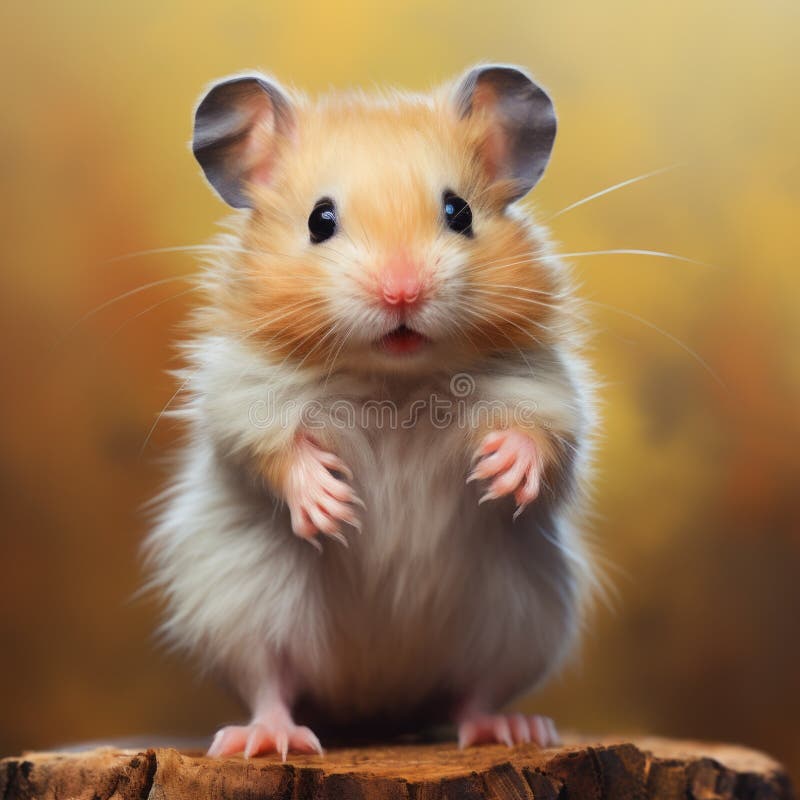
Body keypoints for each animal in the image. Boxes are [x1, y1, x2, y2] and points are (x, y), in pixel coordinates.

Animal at [144, 64, 597, 759]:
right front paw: (332, 507)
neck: (394, 383)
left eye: (459, 212)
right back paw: (266, 741)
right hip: (238, 604)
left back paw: (512, 731)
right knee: (268, 682)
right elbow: (273, 451)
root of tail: (377, 703)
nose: (401, 292)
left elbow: (543, 432)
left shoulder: (546, 385)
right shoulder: (242, 396)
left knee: (477, 694)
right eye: (319, 220)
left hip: (519, 621)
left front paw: (499, 472)